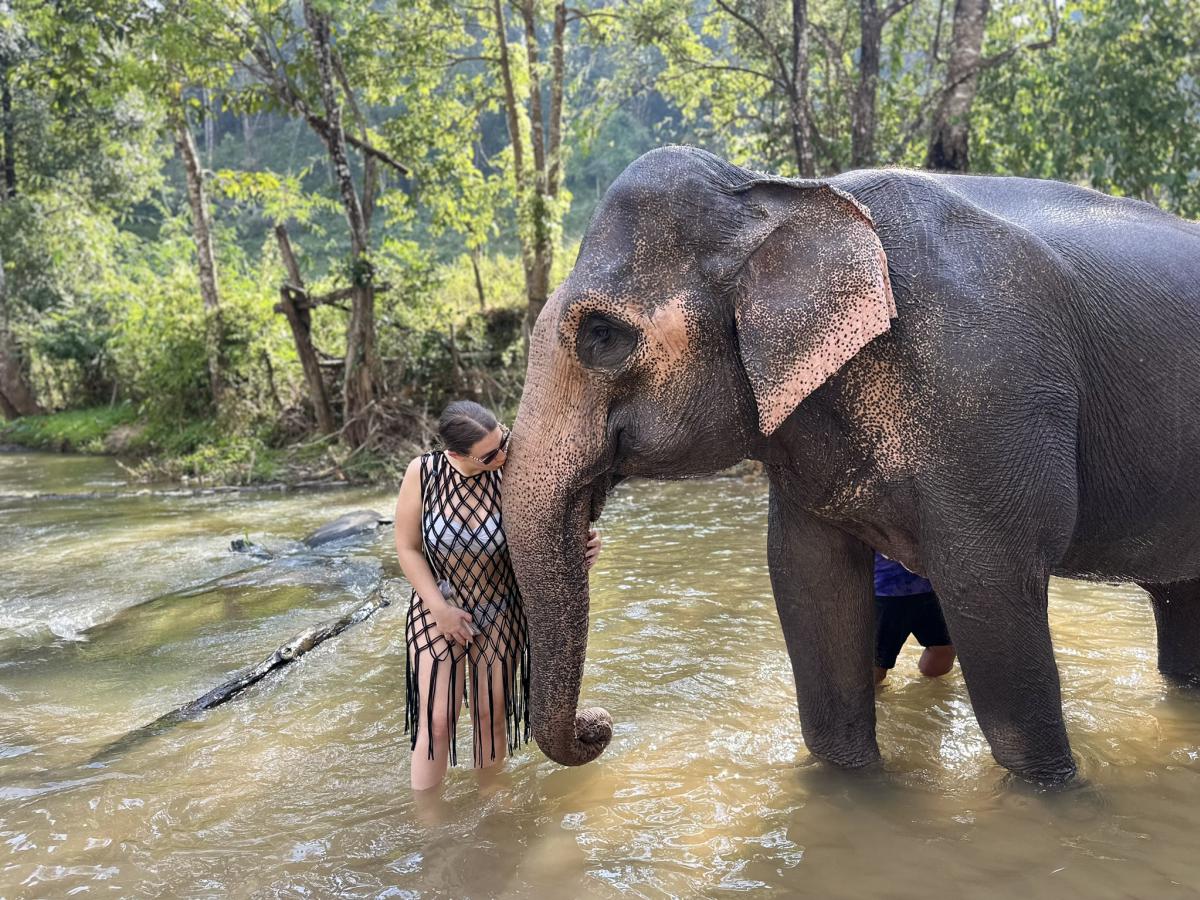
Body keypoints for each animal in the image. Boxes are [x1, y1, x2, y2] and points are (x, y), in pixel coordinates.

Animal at [500, 145, 1200, 784]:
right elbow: (810, 578)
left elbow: (990, 588)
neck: (776, 194)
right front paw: (851, 788)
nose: (599, 726)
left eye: (601, 336)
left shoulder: (988, 391)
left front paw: (1058, 797)